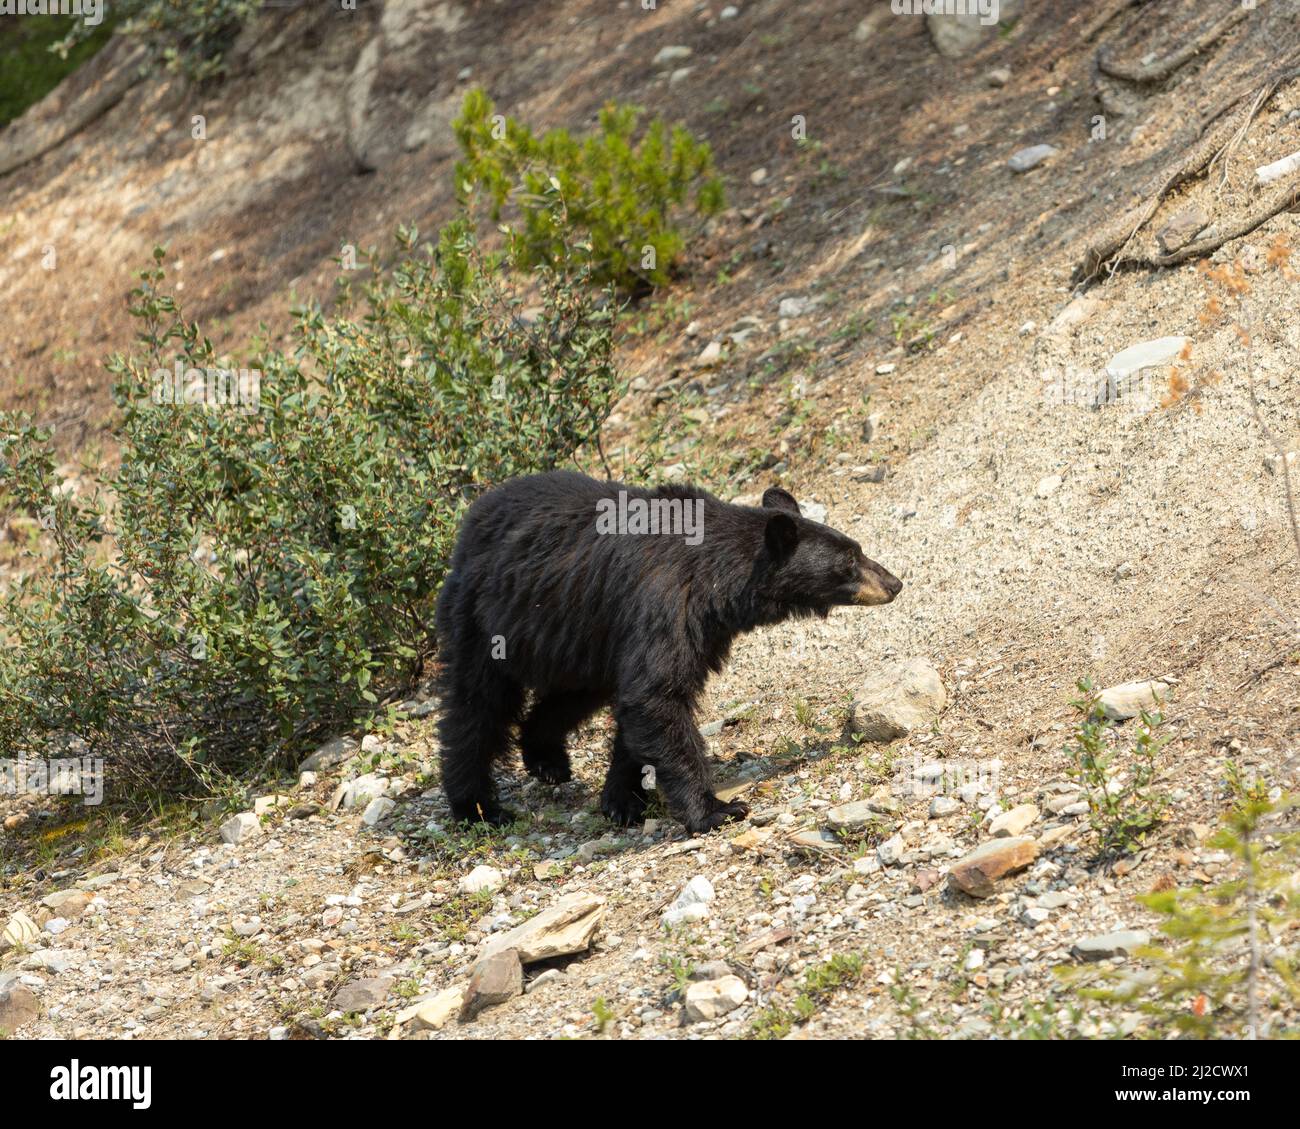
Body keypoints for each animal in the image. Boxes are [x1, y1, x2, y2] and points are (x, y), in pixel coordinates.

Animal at [434, 470, 902, 834]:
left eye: (858, 549)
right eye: (850, 561)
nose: (895, 583)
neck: (718, 576)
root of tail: (469, 520)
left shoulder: (699, 630)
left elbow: (644, 704)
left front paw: (622, 801)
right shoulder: (665, 602)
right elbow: (655, 696)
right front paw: (716, 810)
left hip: (579, 636)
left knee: (575, 694)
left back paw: (546, 758)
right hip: (484, 619)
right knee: (477, 707)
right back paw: (477, 808)